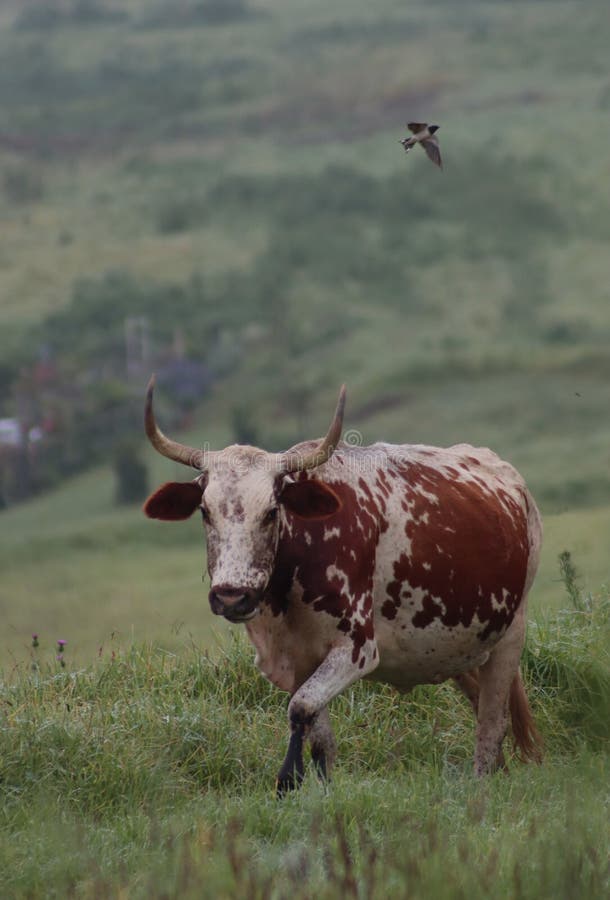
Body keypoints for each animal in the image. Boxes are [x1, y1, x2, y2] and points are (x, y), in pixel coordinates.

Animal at [143, 377, 543, 794]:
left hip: (509, 637)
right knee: (481, 708)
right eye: (205, 512)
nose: (232, 597)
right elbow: (319, 733)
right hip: (460, 646)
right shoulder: (296, 659)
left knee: (491, 724)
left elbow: (300, 708)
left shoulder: (356, 649)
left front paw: (288, 778)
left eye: (271, 511)